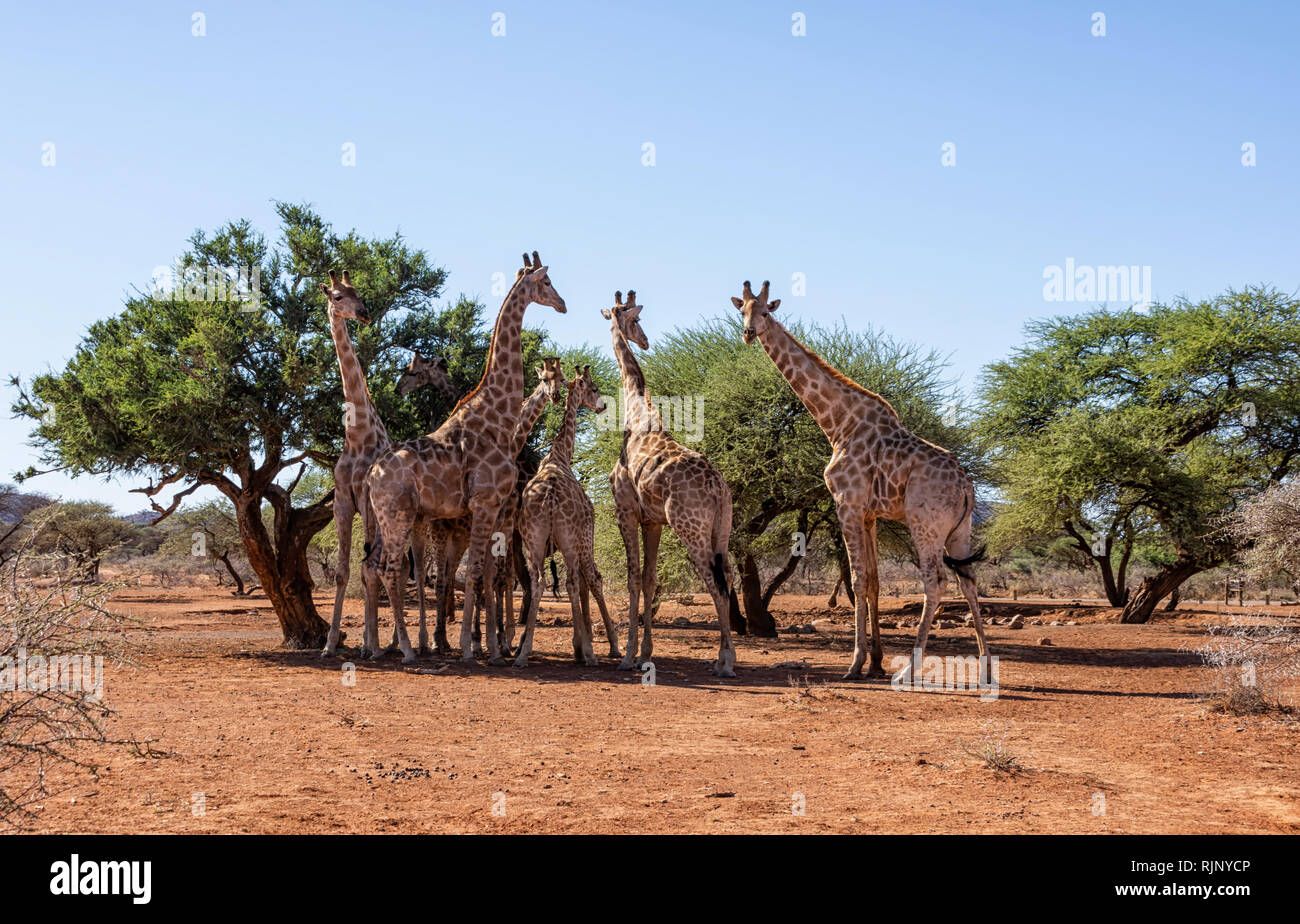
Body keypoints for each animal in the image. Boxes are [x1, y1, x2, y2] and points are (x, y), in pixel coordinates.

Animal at [364, 252, 566, 664]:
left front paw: (483, 644)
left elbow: (485, 573)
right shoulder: (485, 503)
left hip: (386, 517)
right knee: (391, 569)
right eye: (547, 281)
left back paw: (380, 647)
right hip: (398, 515)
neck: (498, 417)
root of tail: (372, 474)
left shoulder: (492, 509)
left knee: (377, 566)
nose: (563, 304)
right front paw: (472, 648)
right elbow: (475, 572)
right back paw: (406, 649)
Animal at [517, 363, 621, 667]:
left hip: (534, 540)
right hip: (574, 540)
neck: (560, 454)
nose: (602, 405)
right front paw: (594, 645)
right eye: (594, 388)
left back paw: (523, 653)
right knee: (582, 580)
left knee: (539, 582)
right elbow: (590, 580)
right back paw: (592, 652)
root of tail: (550, 498)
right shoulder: (584, 536)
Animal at [603, 290, 741, 677]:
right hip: (722, 528)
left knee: (716, 585)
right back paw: (721, 657)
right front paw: (645, 654)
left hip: (690, 528)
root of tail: (718, 489)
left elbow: (634, 578)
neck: (636, 409)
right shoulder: (653, 521)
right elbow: (650, 580)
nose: (646, 341)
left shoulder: (626, 511)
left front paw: (628, 657)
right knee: (728, 577)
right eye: (636, 320)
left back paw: (726, 663)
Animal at [731, 280, 989, 683]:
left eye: (766, 312)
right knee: (969, 579)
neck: (838, 423)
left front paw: (855, 664)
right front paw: (876, 662)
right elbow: (874, 582)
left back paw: (909, 670)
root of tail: (966, 487)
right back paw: (986, 669)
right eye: (741, 310)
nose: (748, 333)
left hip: (925, 524)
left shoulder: (847, 504)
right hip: (960, 531)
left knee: (936, 582)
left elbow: (857, 579)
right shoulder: (870, 515)